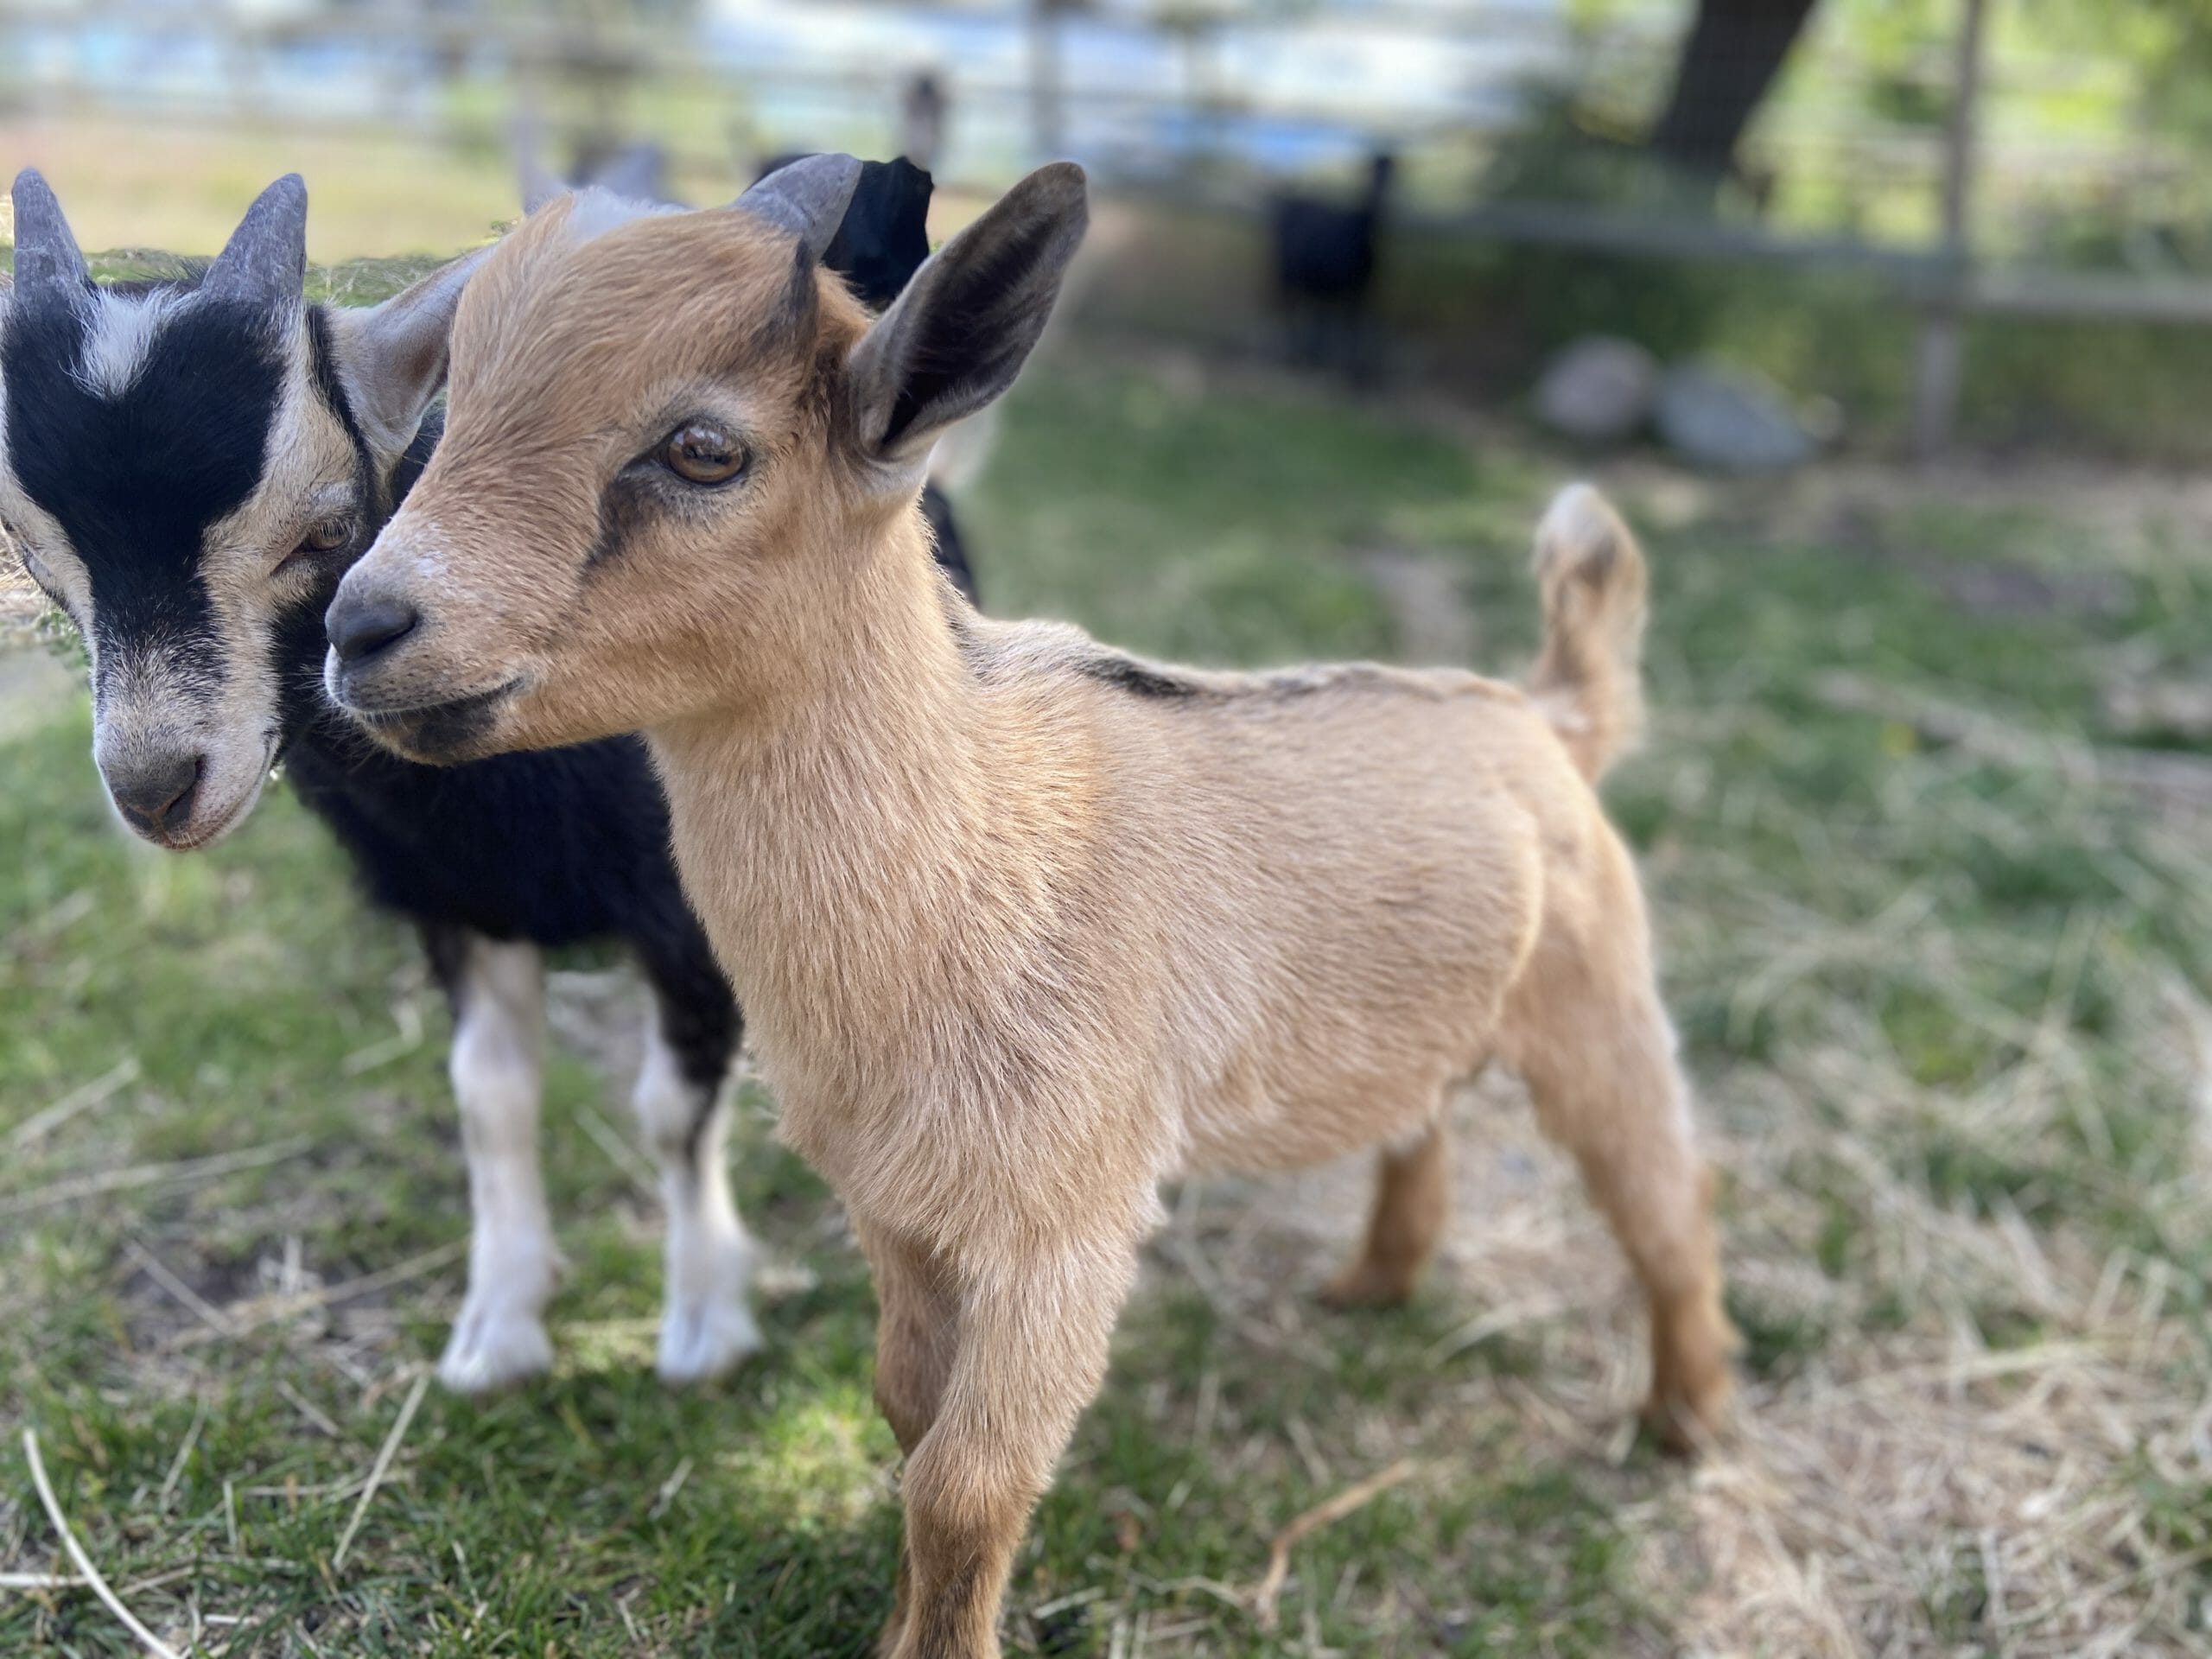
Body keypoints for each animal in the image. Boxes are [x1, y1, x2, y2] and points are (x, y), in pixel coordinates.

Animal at [0, 162, 970, 1392]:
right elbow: (490, 1098)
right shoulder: (458, 901)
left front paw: (706, 1317)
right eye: (35, 553)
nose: (157, 785)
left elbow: (672, 1108)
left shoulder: (686, 909)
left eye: (322, 532)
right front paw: (500, 1325)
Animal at [1270, 148, 1396, 380]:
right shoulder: (1336, 283)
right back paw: (1290, 353)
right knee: (1287, 304)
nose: (1383, 186)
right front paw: (1340, 368)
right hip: (1286, 270)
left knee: (1309, 309)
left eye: (1393, 168)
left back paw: (1307, 353)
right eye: (1372, 167)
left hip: (1310, 277)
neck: (1358, 230)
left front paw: (1345, 366)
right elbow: (1336, 325)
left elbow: (1346, 324)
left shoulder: (1359, 290)